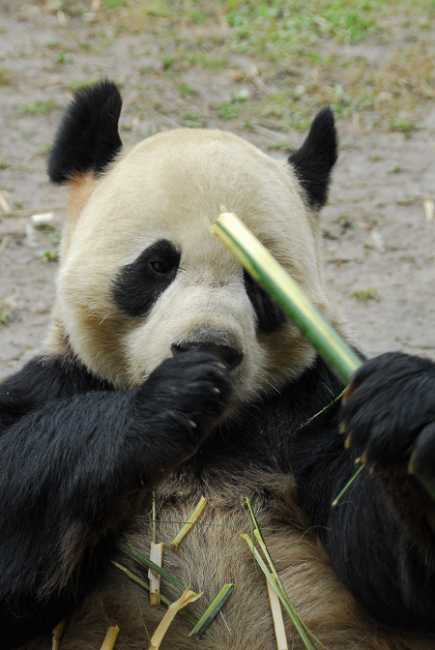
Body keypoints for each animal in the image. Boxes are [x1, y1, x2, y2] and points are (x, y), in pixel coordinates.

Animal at [1, 80, 435, 650]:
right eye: (158, 264)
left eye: (259, 282)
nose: (210, 347)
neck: (213, 440)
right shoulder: (60, 381)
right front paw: (164, 402)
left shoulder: (308, 406)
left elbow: (388, 574)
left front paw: (406, 411)